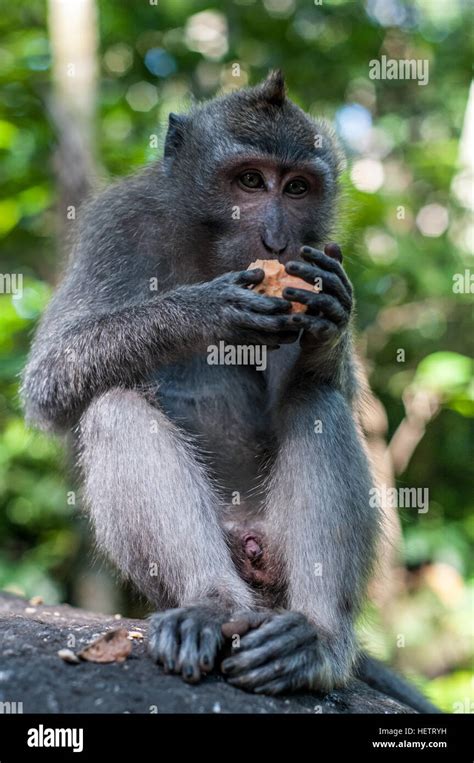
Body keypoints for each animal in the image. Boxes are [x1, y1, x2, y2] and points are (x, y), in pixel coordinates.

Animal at [22, 72, 437, 711]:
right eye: (248, 180)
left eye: (297, 187)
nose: (276, 238)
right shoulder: (118, 225)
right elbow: (49, 379)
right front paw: (205, 310)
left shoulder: (320, 253)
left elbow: (317, 383)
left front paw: (330, 321)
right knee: (113, 408)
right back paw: (212, 606)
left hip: (275, 556)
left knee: (317, 403)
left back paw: (314, 641)